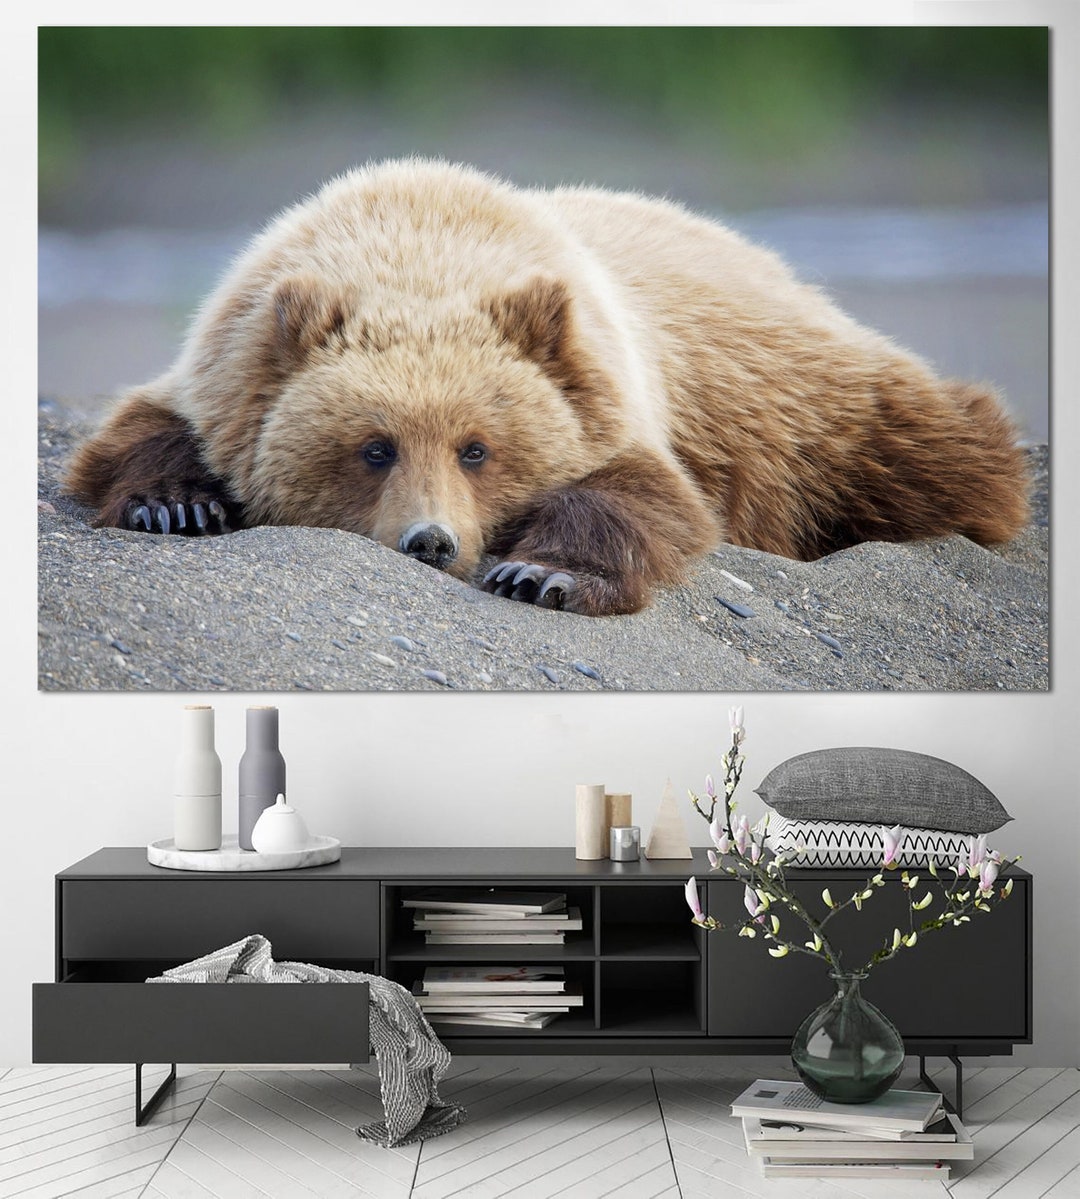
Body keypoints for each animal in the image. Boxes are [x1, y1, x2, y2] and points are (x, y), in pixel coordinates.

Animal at [65, 158, 1031, 617]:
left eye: (477, 447)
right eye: (374, 447)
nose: (430, 540)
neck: (420, 240)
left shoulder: (610, 388)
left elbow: (641, 497)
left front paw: (540, 572)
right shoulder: (230, 358)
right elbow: (142, 430)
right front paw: (174, 503)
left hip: (803, 399)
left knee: (924, 447)